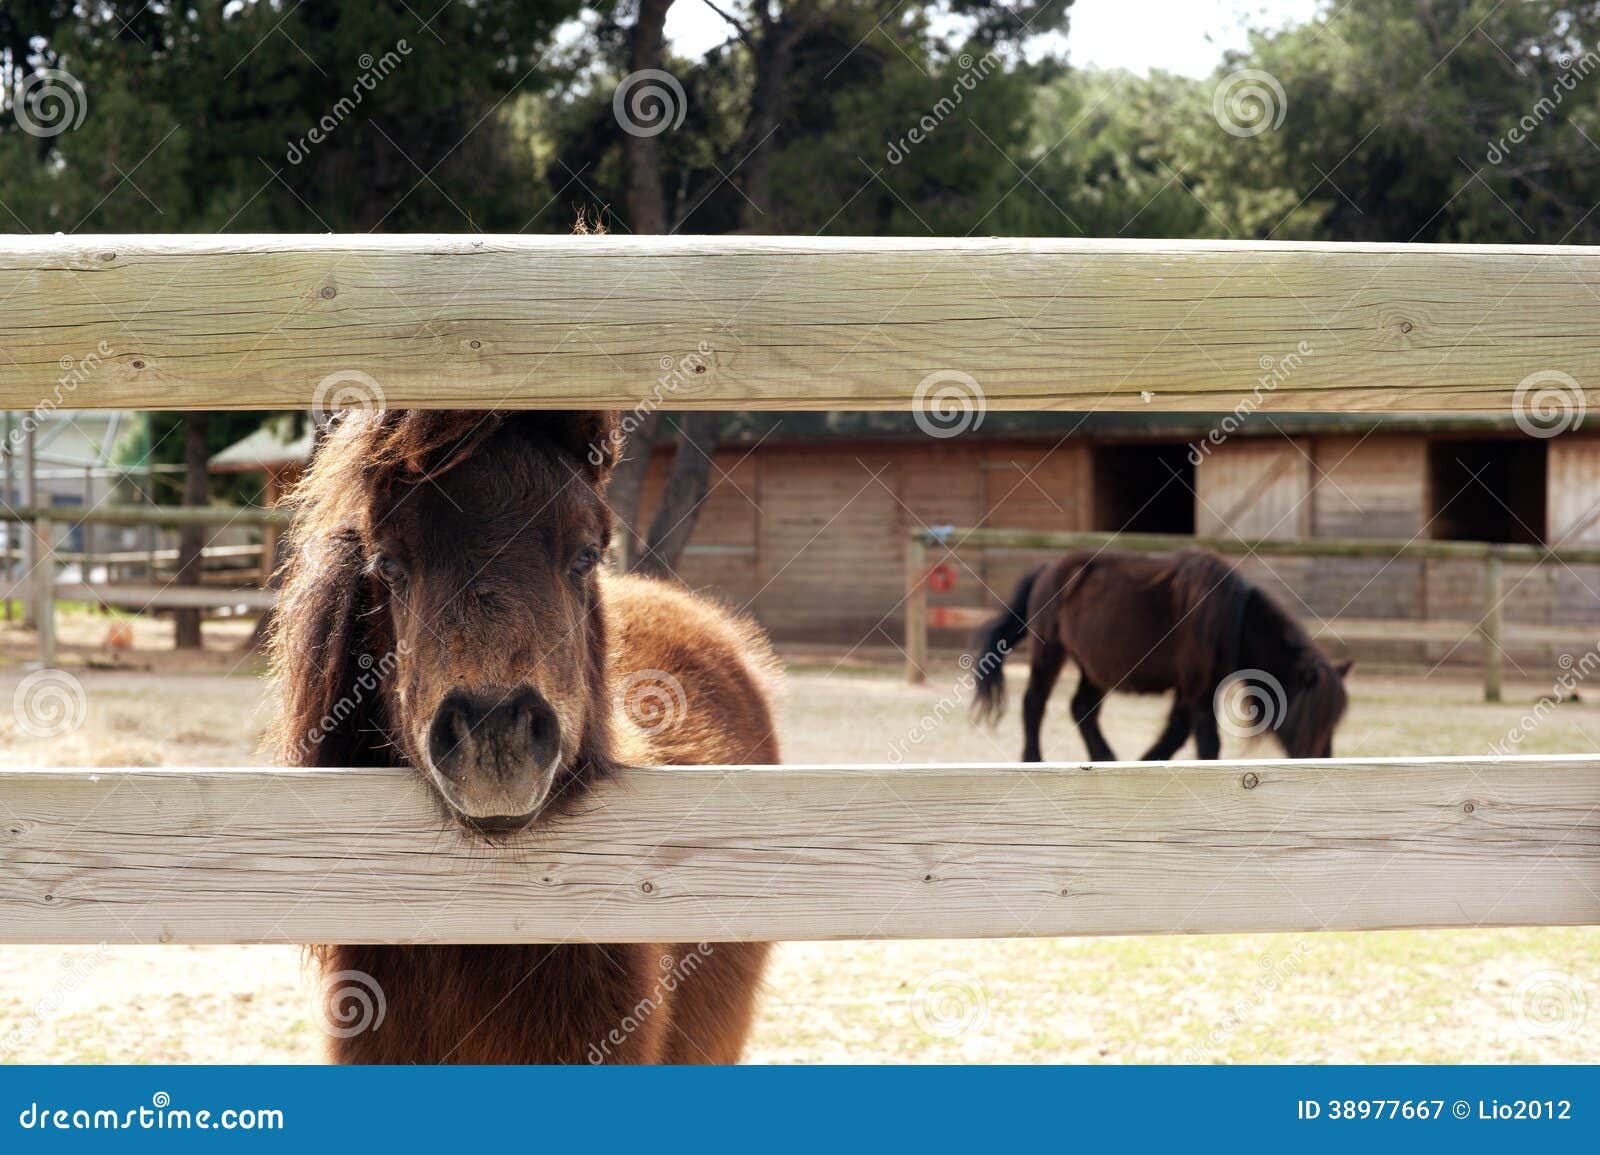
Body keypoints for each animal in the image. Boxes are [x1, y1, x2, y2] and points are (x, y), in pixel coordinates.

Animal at [969, 549, 1349, 763]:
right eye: (1312, 721)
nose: (1325, 760)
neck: (1232, 620)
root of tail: (1047, 569)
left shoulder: (1191, 688)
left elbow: (1175, 734)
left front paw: (1147, 761)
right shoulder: (1198, 688)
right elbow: (1206, 743)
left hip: (1095, 668)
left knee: (1082, 709)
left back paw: (1105, 758)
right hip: (1049, 653)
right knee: (1034, 704)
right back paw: (1034, 759)